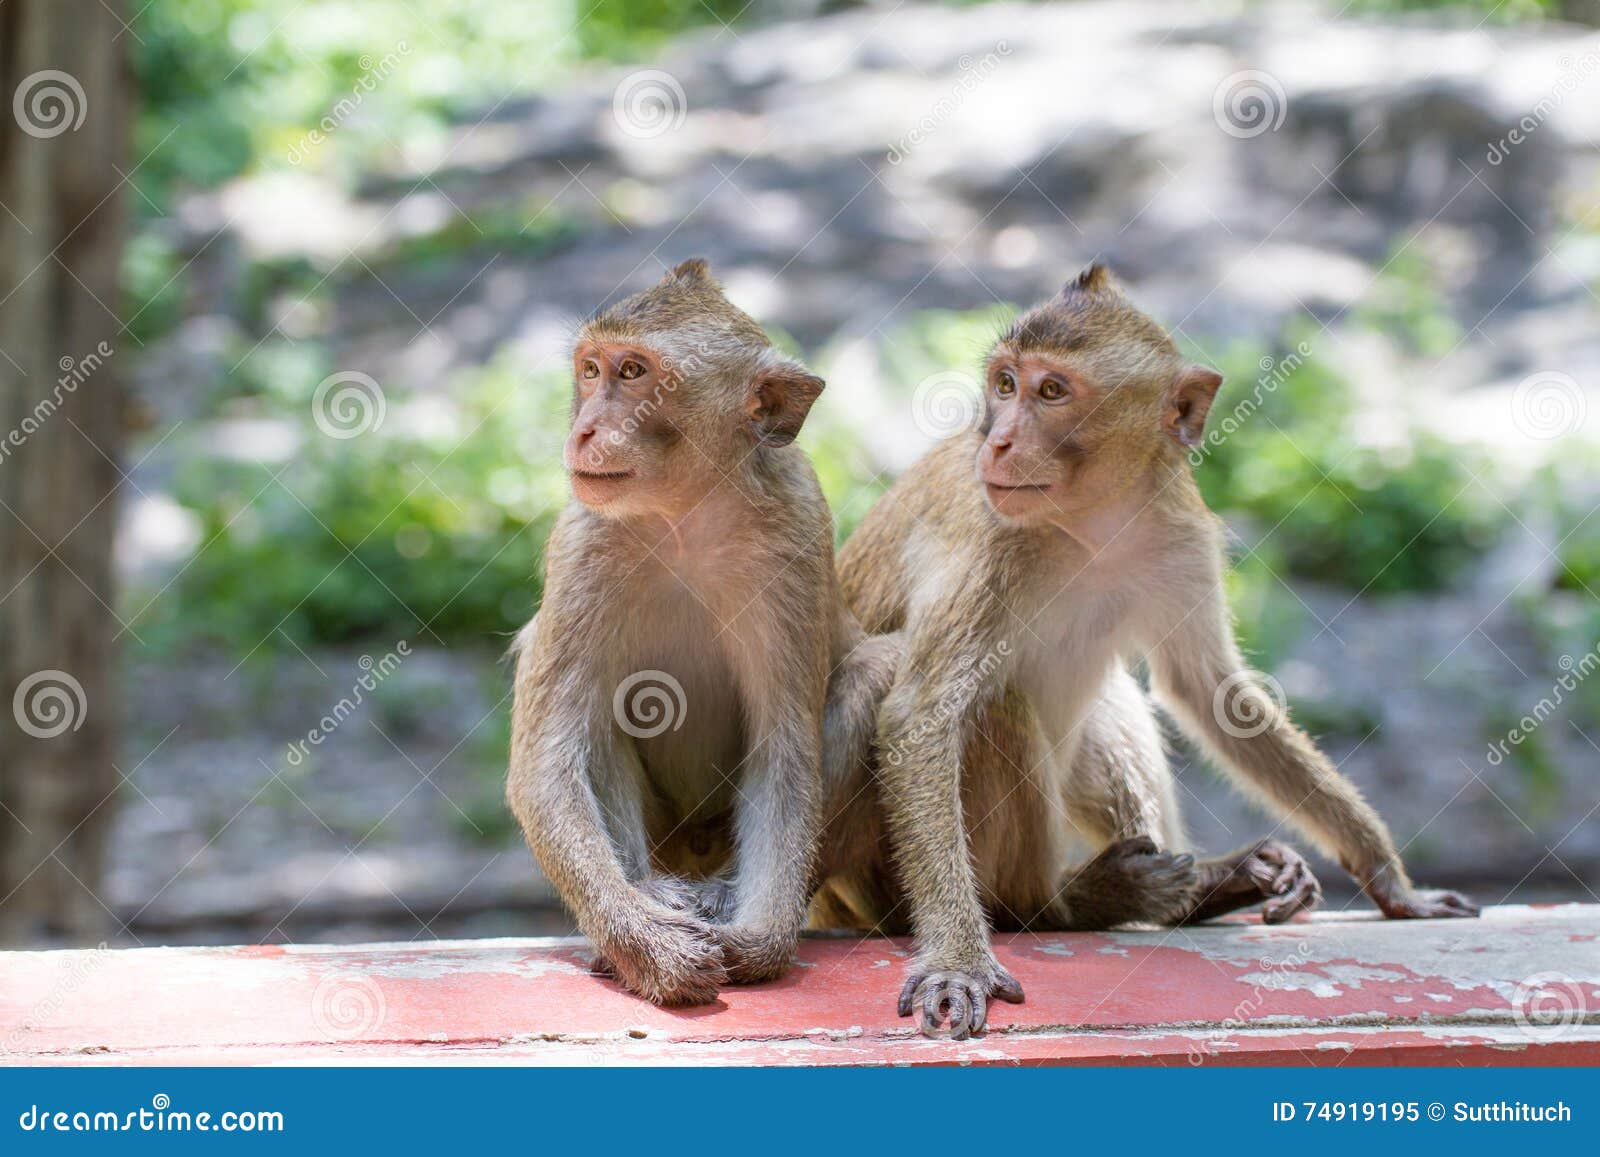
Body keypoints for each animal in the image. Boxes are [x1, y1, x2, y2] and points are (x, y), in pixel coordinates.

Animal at [505, 258, 898, 1007]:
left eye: (633, 372)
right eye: (591, 370)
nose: (584, 431)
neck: (684, 514)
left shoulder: (798, 533)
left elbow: (784, 755)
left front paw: (762, 942)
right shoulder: (582, 541)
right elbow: (546, 763)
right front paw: (646, 944)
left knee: (875, 671)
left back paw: (721, 895)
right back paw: (649, 900)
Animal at [818, 264, 1477, 1039]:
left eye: (1051, 392)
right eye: (1005, 384)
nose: (998, 443)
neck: (1090, 522)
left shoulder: (1178, 532)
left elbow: (1212, 692)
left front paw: (1392, 882)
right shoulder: (984, 538)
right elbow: (920, 713)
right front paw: (957, 959)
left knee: (1108, 699)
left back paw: (1211, 884)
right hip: (881, 885)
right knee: (993, 704)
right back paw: (1072, 903)